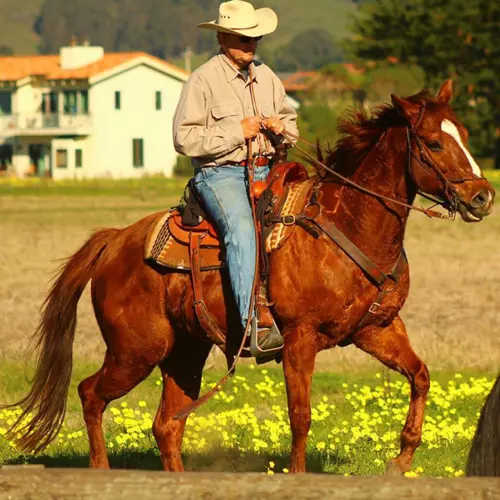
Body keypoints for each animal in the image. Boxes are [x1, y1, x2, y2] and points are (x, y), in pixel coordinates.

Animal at [3, 81, 494, 472]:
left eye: (465, 136)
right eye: (433, 143)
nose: (483, 197)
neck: (348, 224)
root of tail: (116, 240)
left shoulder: (376, 329)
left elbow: (421, 375)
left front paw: (402, 459)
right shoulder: (299, 338)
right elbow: (301, 415)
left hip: (184, 353)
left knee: (165, 426)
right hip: (135, 351)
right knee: (90, 394)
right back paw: (101, 471)